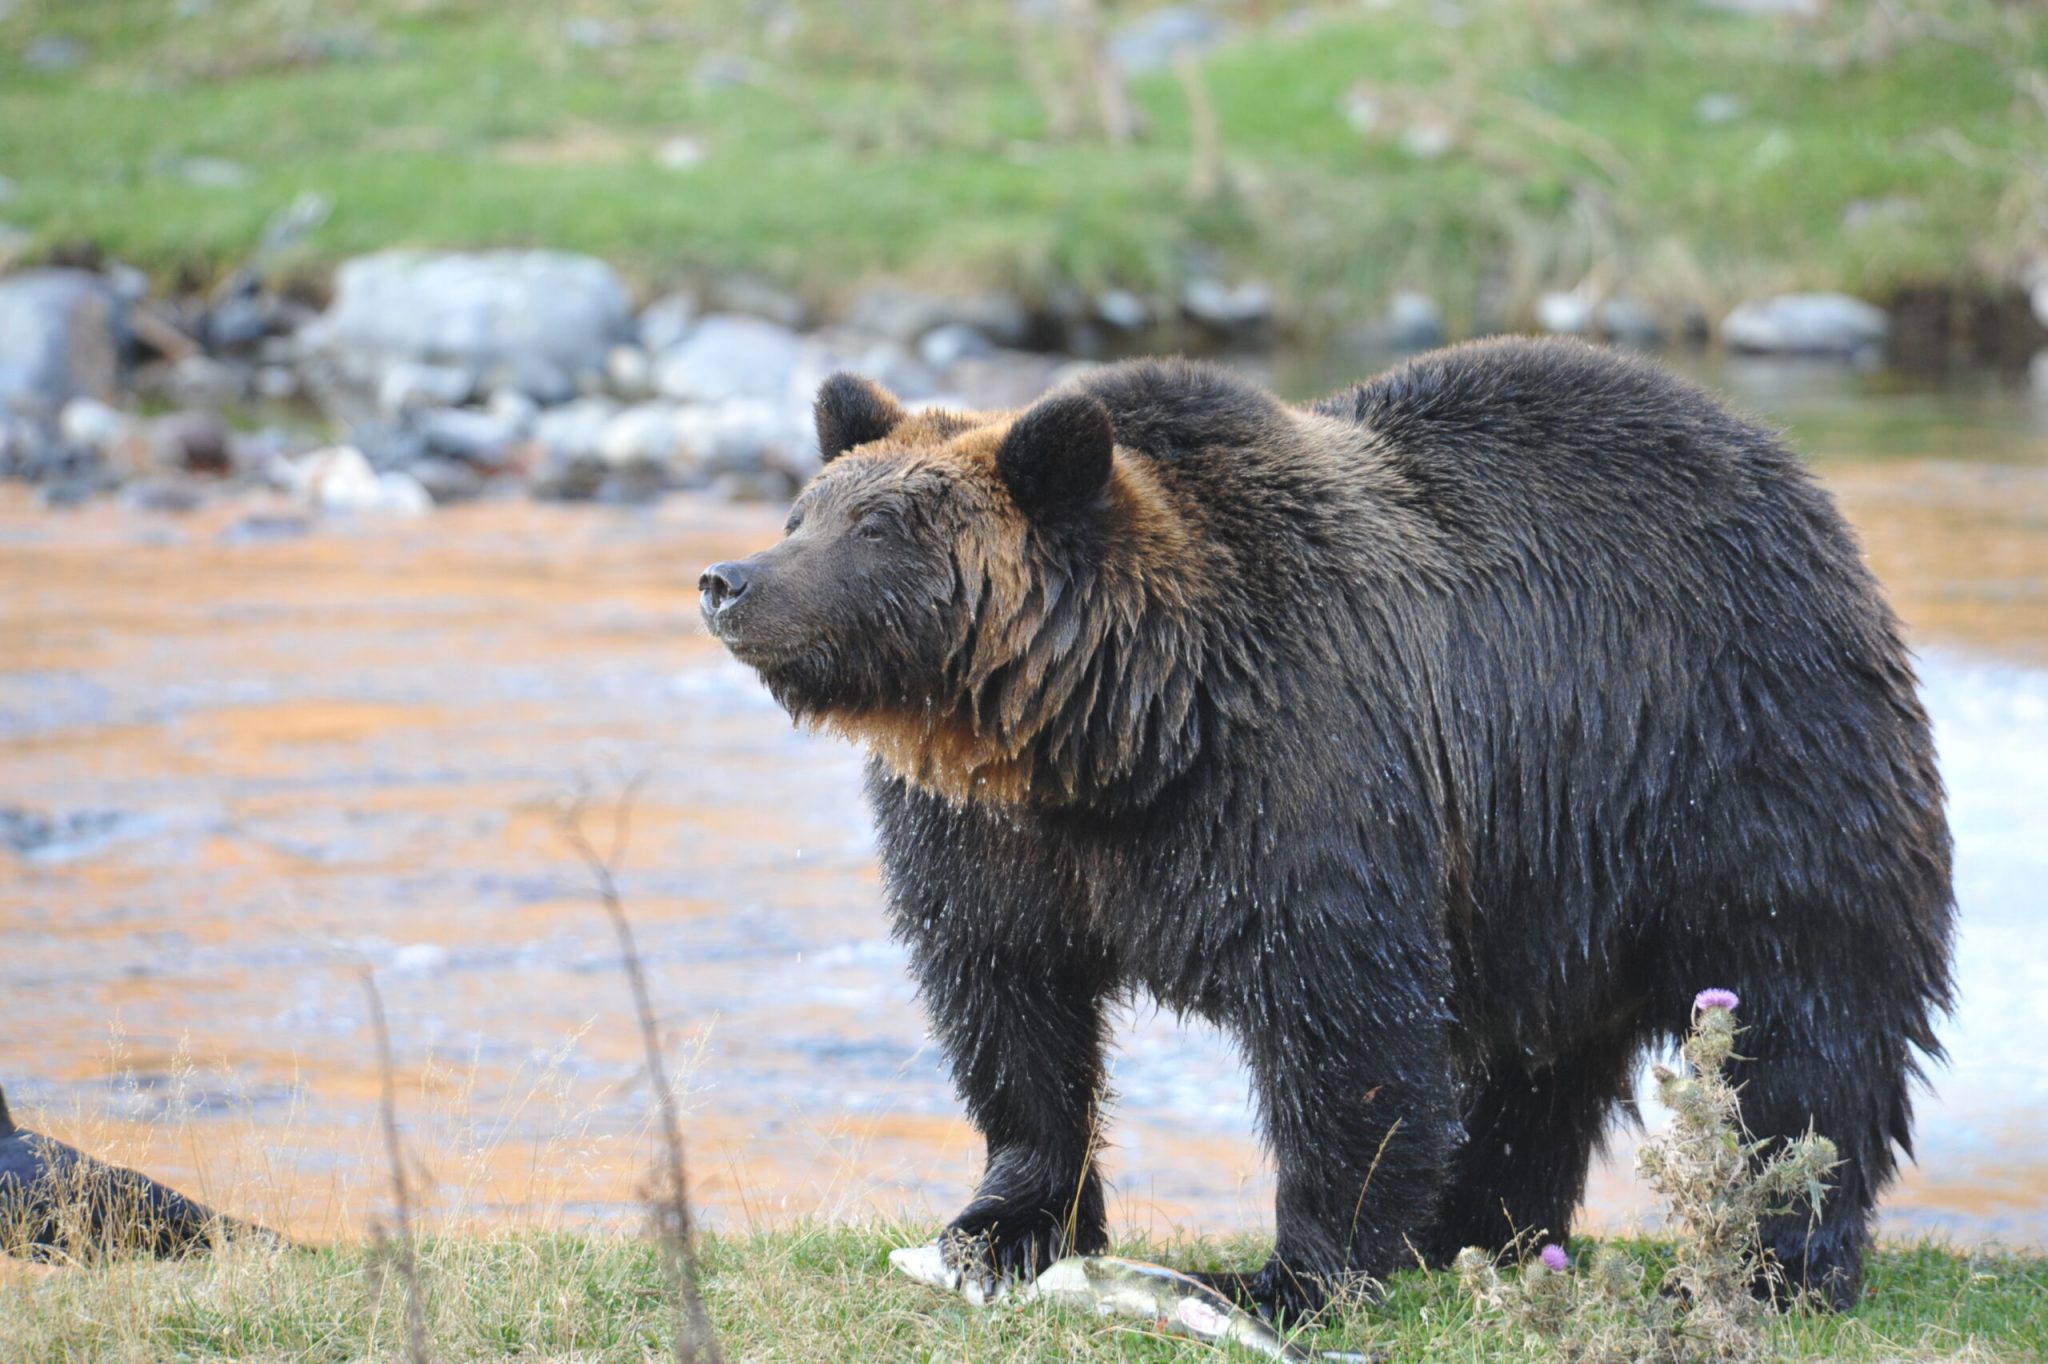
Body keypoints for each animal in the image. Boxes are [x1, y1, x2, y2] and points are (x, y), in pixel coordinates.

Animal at [698, 337, 1953, 1317]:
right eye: (803, 508)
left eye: (876, 525)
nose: (728, 578)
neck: (1109, 734)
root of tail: (1786, 473)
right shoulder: (994, 843)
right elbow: (1010, 1010)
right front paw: (1000, 1226)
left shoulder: (1297, 780)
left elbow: (1342, 1026)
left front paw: (1292, 1274)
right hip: (1547, 872)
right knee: (1537, 1065)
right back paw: (1477, 1225)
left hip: (1734, 763)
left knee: (1800, 1016)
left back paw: (1767, 1262)